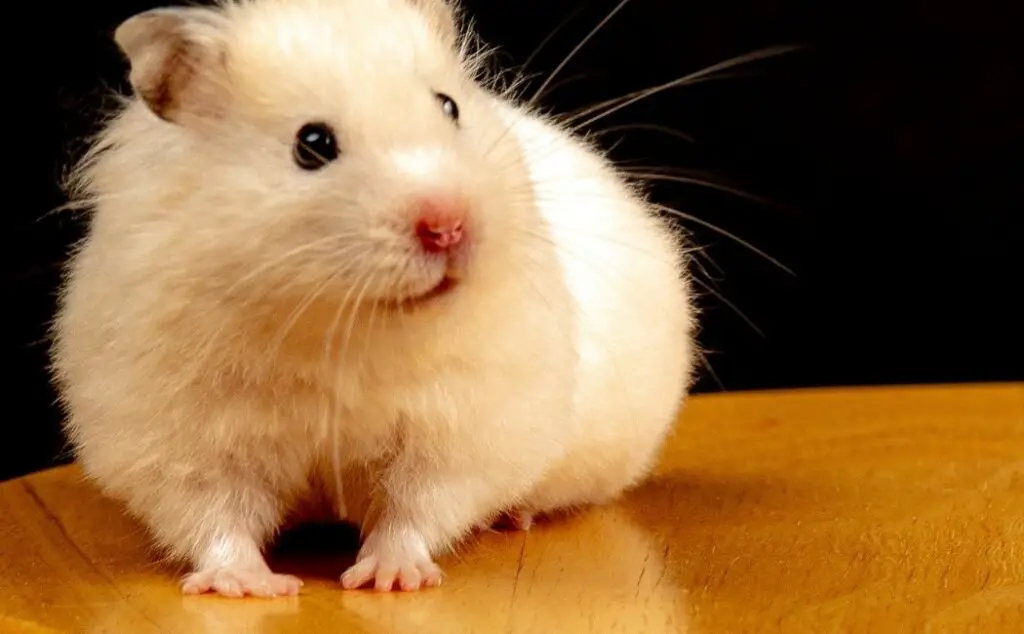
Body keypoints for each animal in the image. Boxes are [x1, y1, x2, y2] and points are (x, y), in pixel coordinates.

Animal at [51, 0, 696, 596]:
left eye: (449, 107)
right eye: (312, 144)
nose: (449, 226)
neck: (338, 325)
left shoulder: (460, 427)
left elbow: (417, 507)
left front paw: (388, 578)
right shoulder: (179, 438)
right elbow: (214, 516)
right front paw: (251, 586)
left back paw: (516, 515)